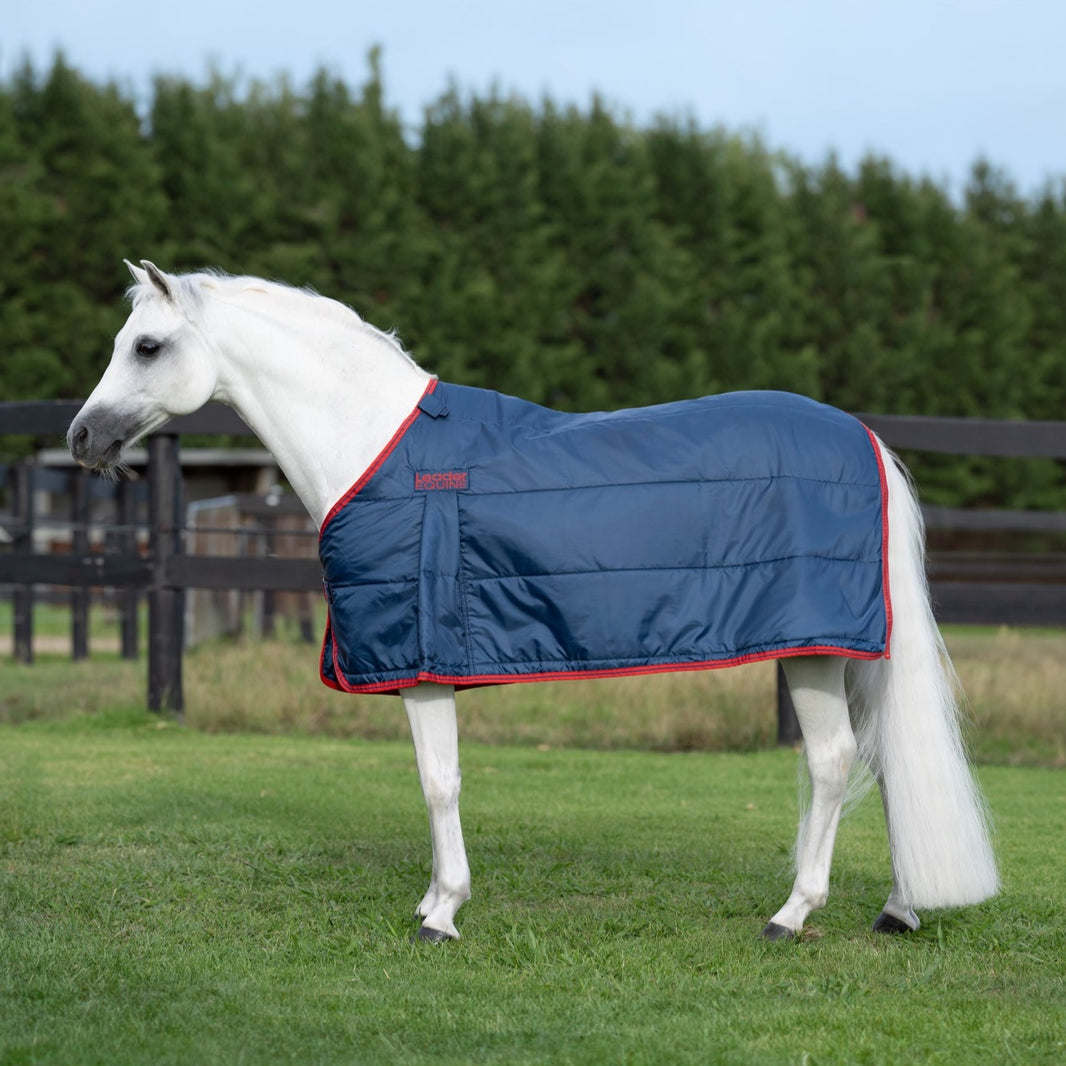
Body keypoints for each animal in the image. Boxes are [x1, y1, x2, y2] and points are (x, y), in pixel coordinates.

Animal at [67, 260, 999, 942]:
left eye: (146, 346)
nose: (81, 437)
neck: (376, 446)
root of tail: (863, 437)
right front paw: (433, 899)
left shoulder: (422, 663)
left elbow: (438, 781)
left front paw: (442, 911)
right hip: (841, 651)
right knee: (878, 761)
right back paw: (895, 909)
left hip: (813, 647)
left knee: (835, 762)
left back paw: (793, 914)